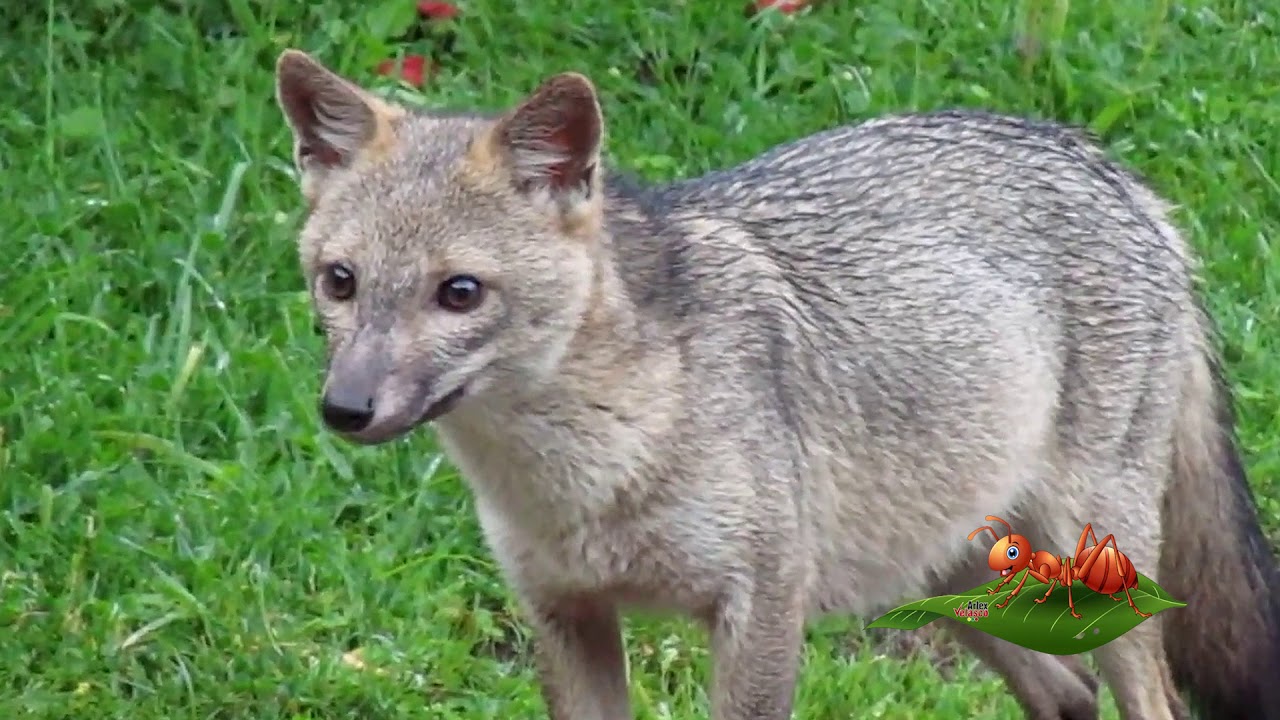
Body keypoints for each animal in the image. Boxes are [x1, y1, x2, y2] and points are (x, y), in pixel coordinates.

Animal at [272, 48, 1280, 720]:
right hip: (937, 578)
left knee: (1147, 704)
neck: (588, 473)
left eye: (460, 293)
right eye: (341, 281)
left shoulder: (758, 611)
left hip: (1091, 569)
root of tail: (1109, 167)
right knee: (1068, 696)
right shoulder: (565, 615)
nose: (343, 409)